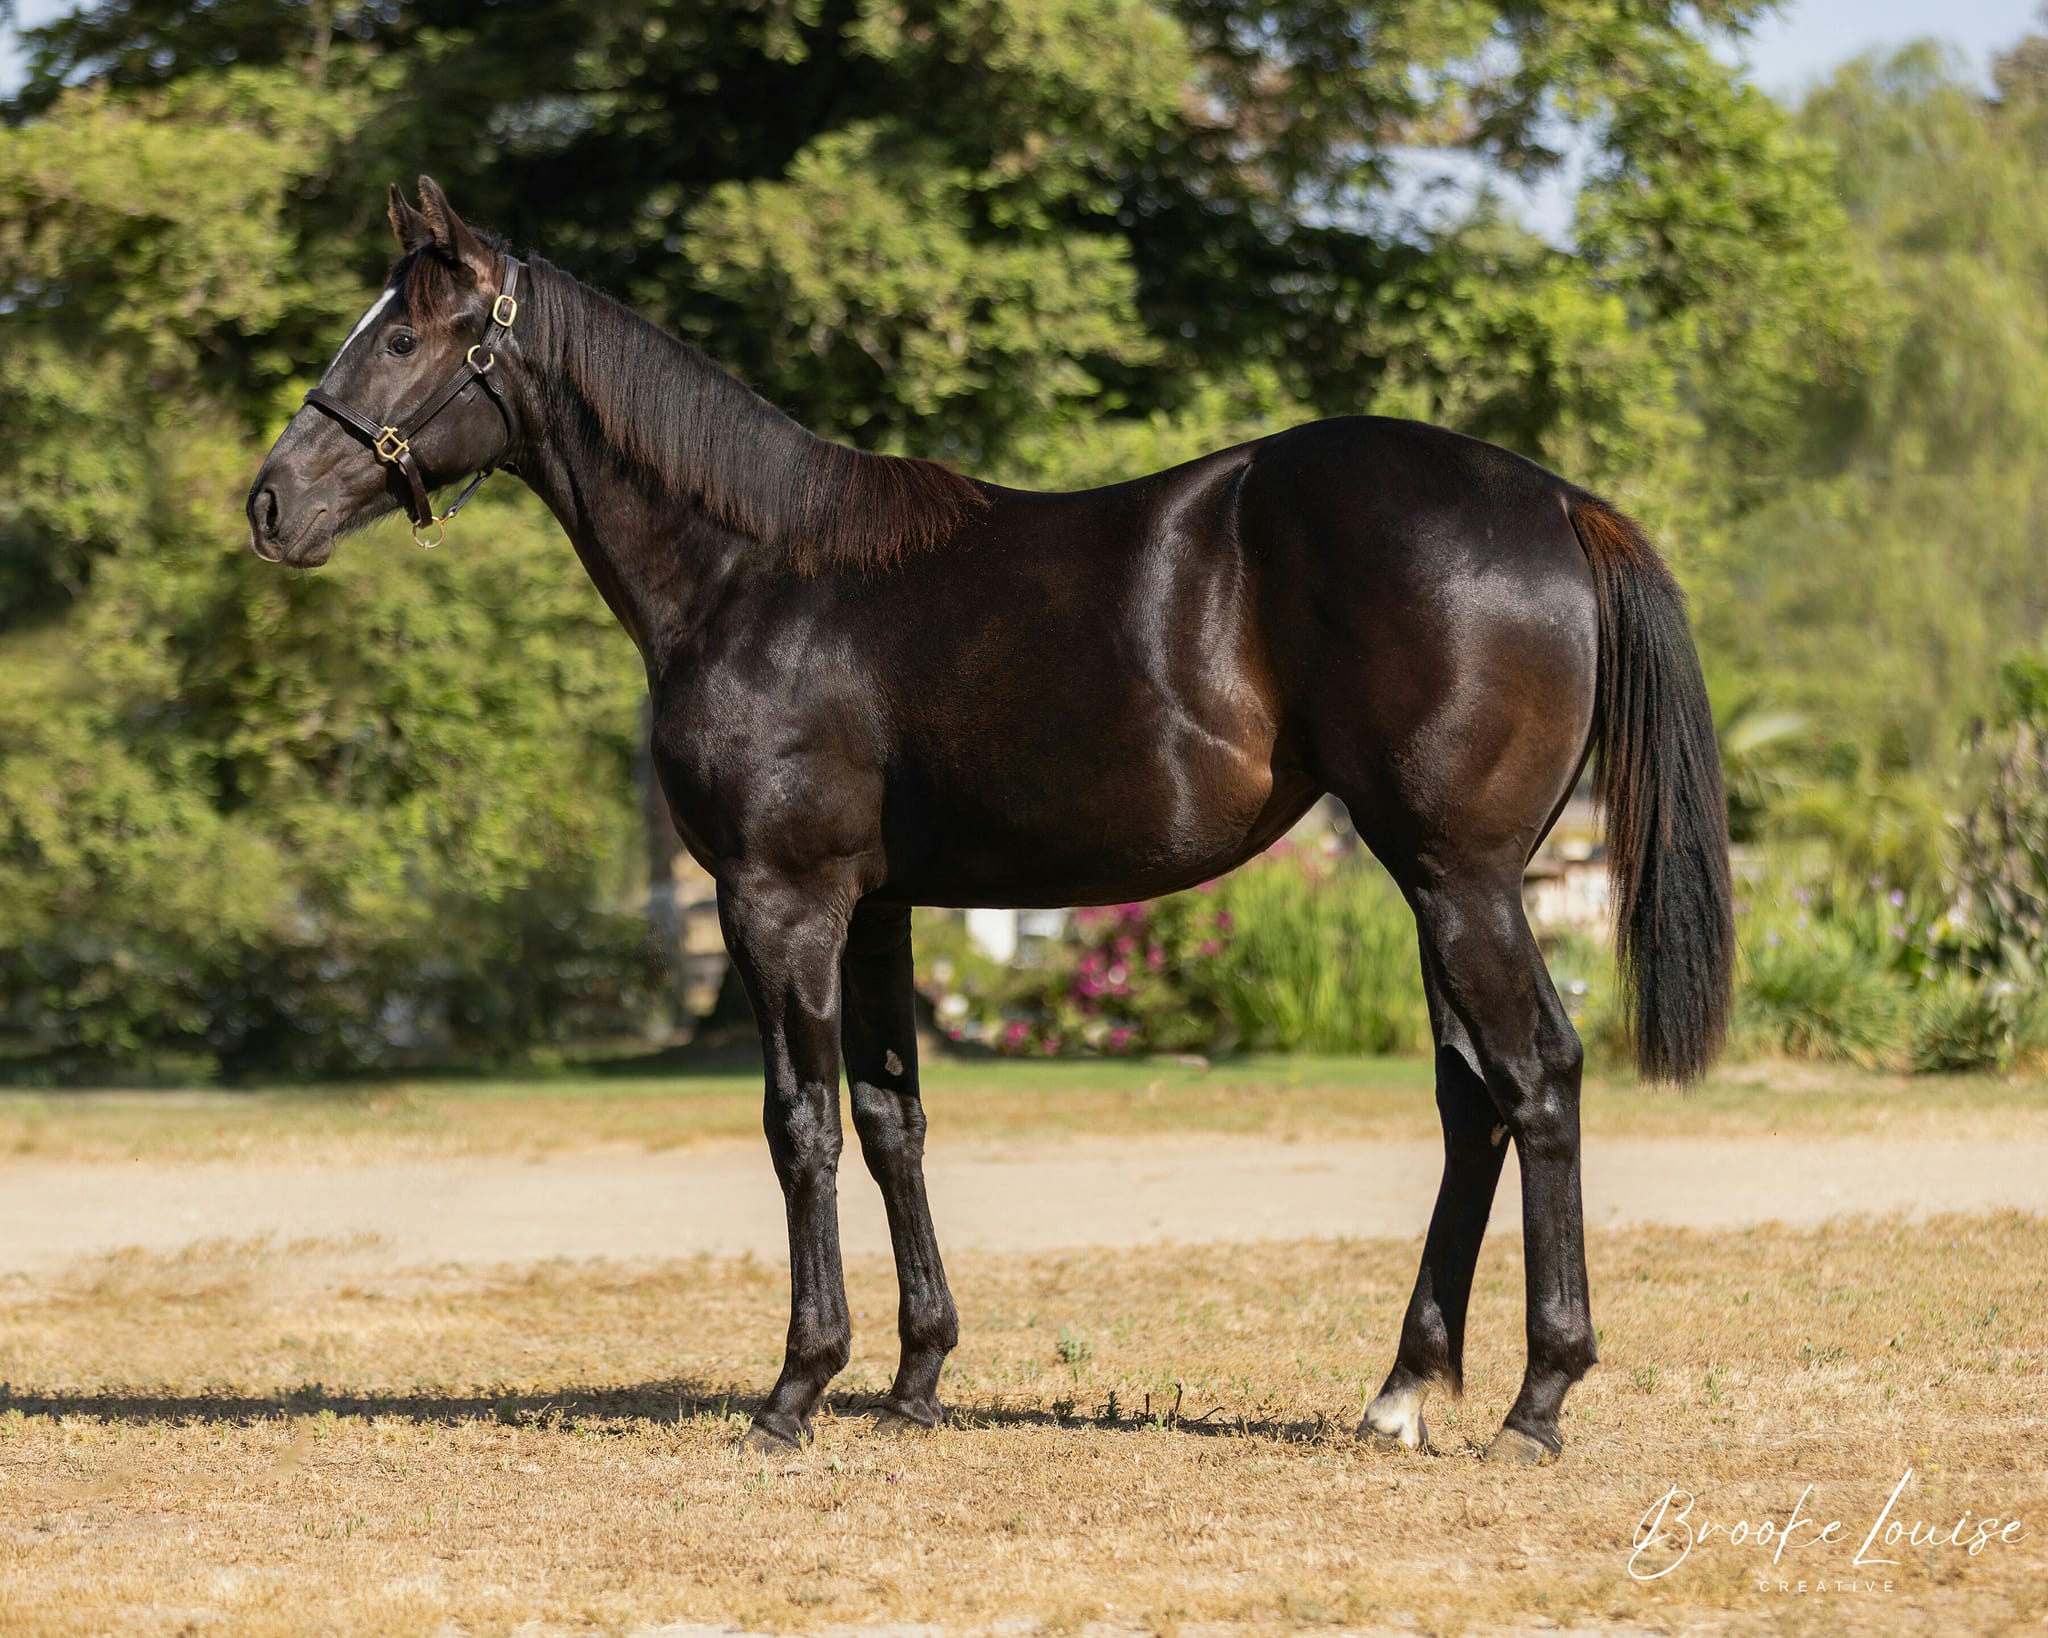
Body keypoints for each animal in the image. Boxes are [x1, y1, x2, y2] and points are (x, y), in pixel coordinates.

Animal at [248, 177, 1733, 1464]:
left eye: (406, 333)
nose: (271, 502)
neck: (758, 571)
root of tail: (1556, 503)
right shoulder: (877, 908)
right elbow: (893, 1118)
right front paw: (916, 1377)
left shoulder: (778, 898)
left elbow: (801, 1122)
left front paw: (796, 1387)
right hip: (1441, 883)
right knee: (1471, 1097)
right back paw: (1403, 1390)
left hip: (1460, 878)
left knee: (1538, 1076)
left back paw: (1537, 1398)